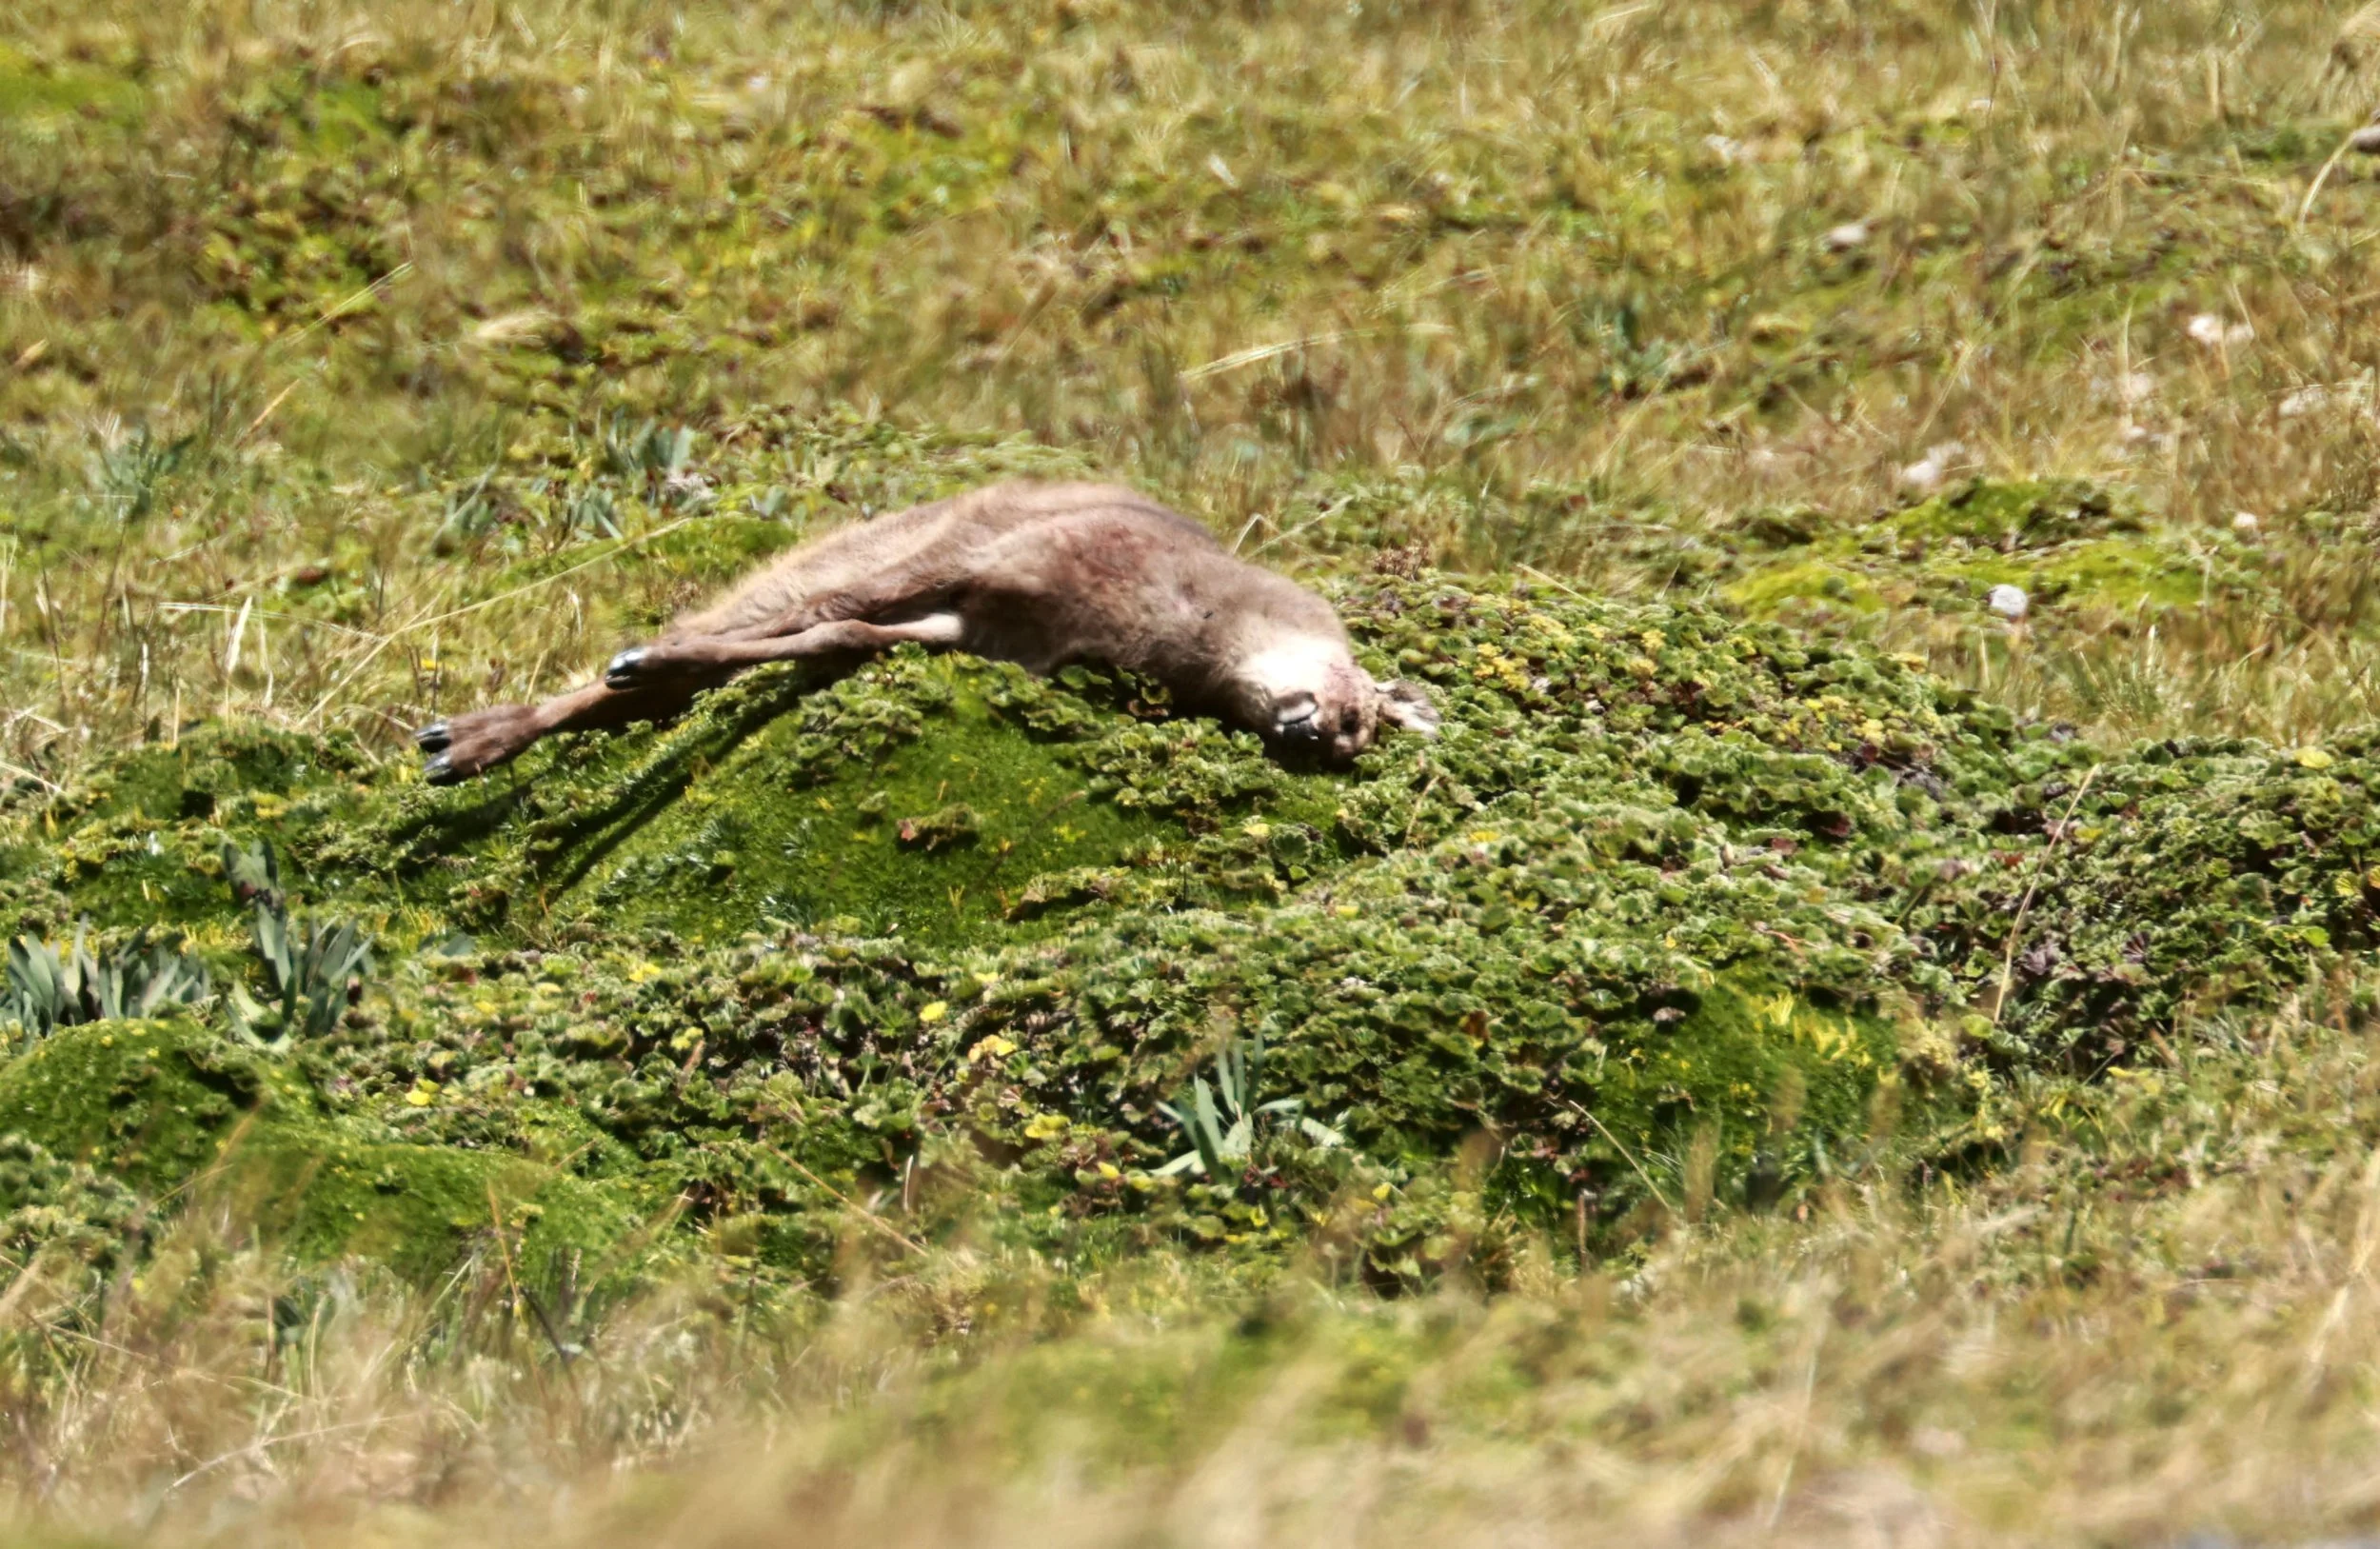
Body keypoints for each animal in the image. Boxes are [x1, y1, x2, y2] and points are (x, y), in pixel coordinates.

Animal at [413, 480, 1439, 783]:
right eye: (1355, 712)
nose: (1310, 734)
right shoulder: (980, 563)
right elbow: (820, 618)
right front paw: (639, 655)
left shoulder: (978, 630)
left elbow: (836, 641)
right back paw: (462, 736)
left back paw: (456, 744)